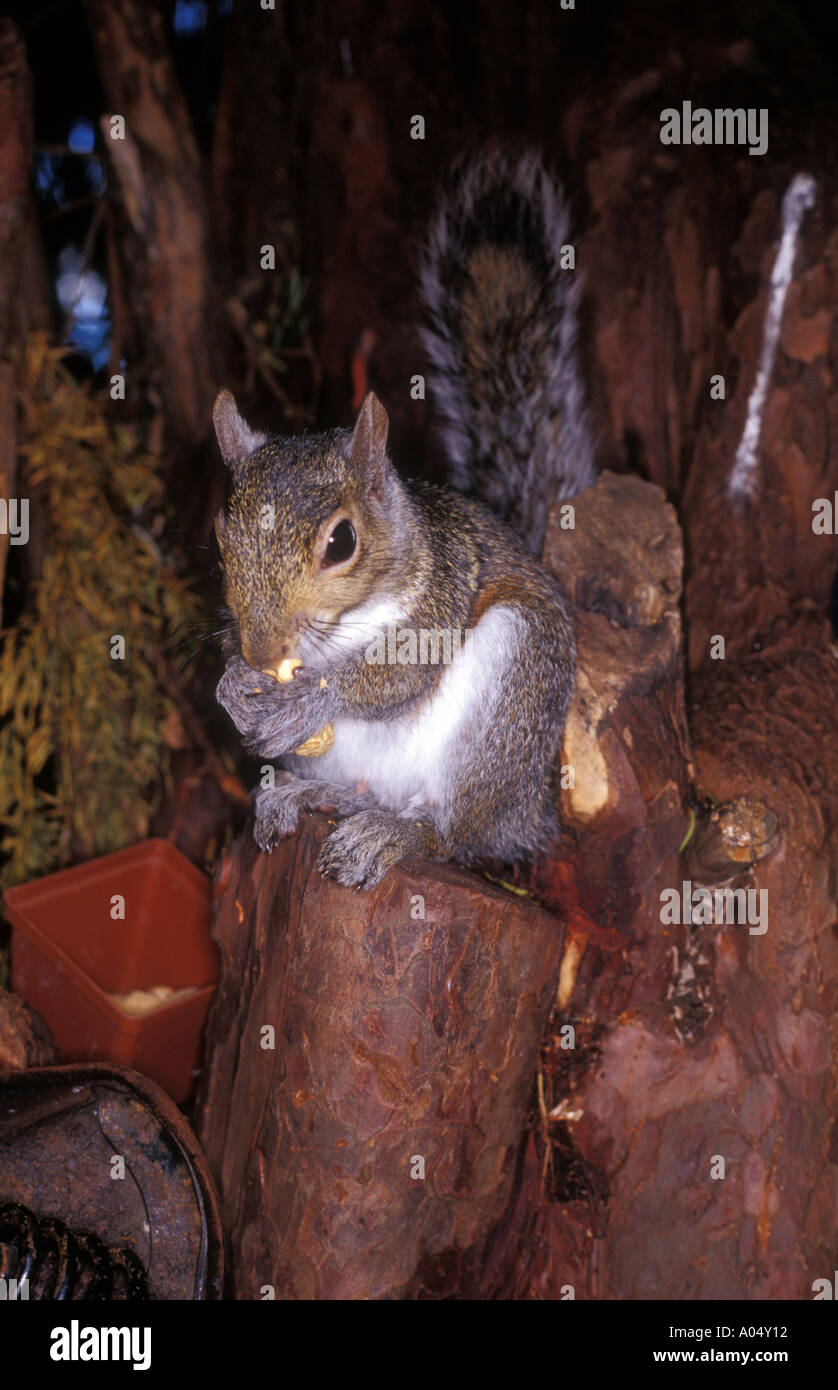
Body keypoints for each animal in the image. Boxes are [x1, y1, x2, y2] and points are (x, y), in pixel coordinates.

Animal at [214, 149, 596, 889]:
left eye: (342, 542)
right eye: (221, 544)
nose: (263, 654)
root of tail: (531, 812)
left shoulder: (441, 589)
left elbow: (400, 673)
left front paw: (316, 698)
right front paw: (231, 685)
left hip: (510, 695)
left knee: (452, 835)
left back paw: (394, 834)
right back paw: (307, 796)